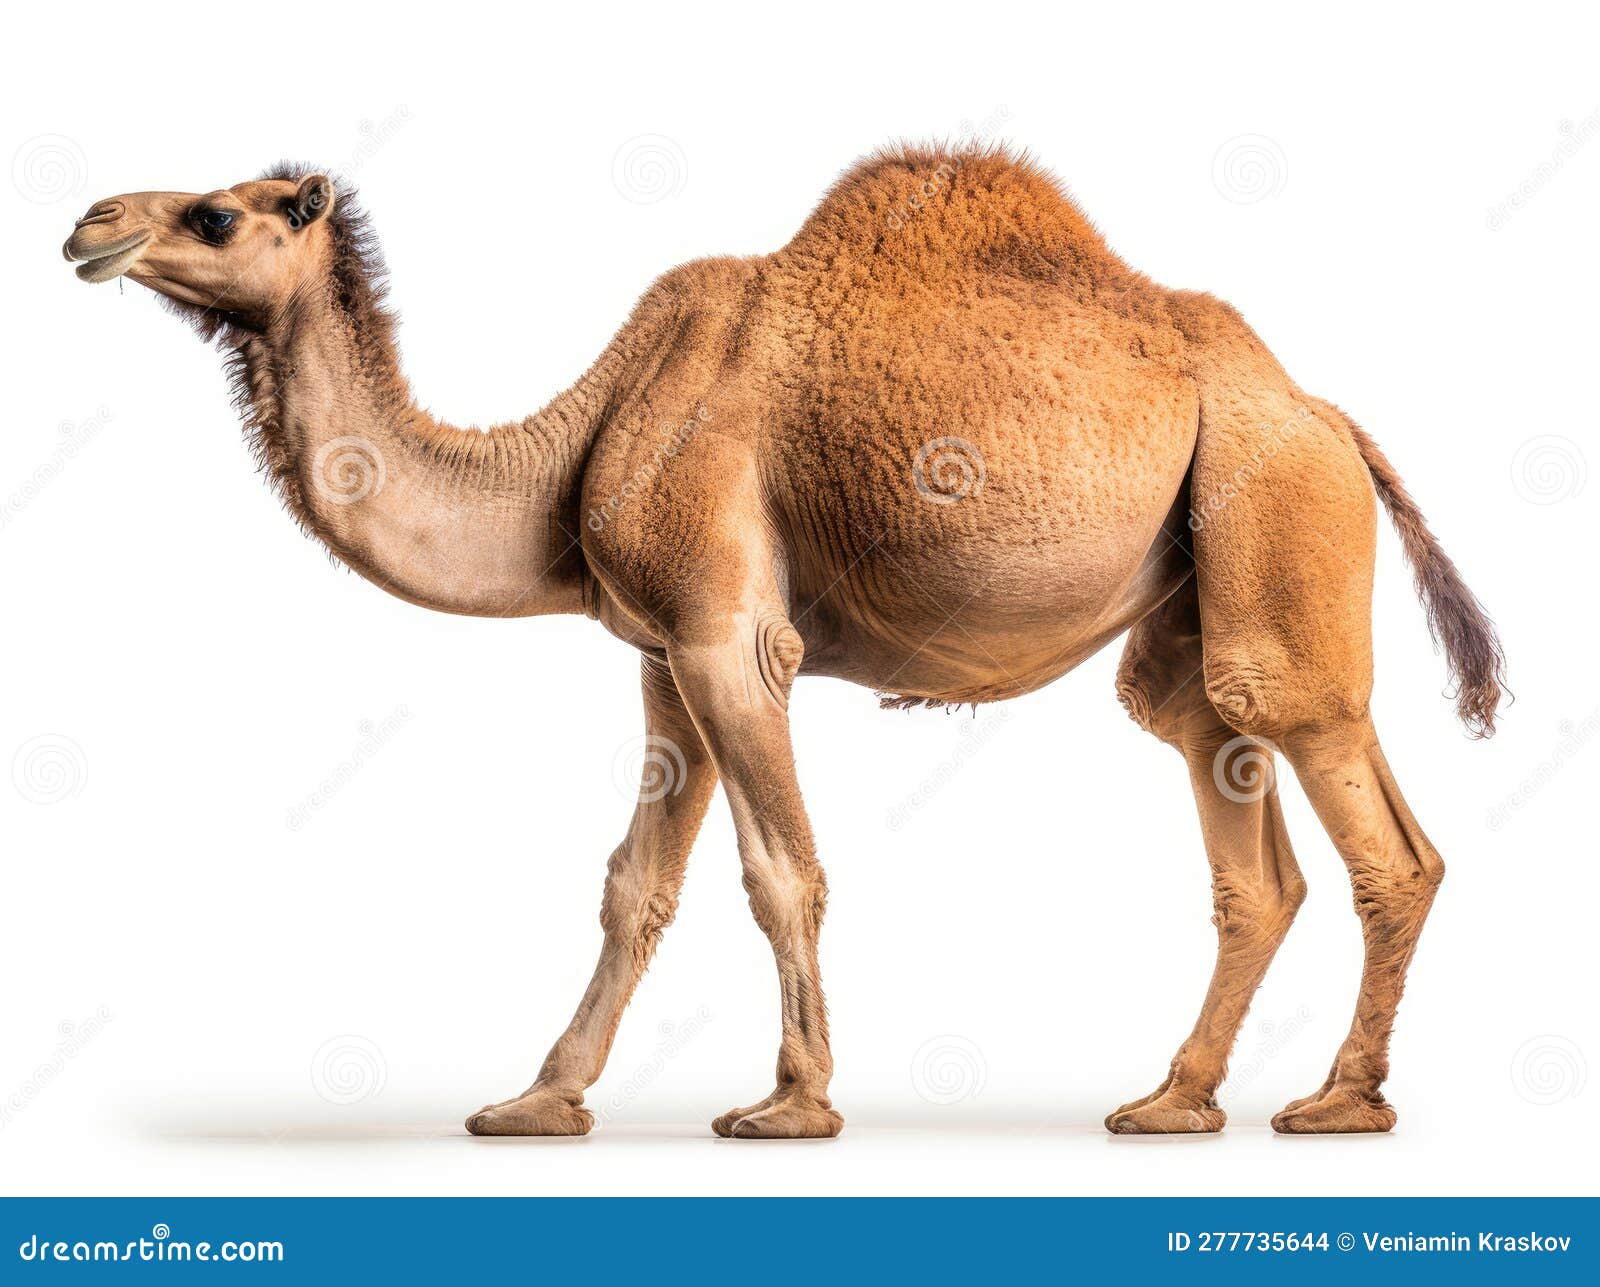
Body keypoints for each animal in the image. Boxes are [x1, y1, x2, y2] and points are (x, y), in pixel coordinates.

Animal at [61, 145, 1503, 1139]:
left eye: (215, 212)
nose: (87, 222)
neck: (582, 439)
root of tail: (1324, 411)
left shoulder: (727, 637)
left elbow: (777, 871)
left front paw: (791, 1102)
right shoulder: (659, 653)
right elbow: (633, 883)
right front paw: (539, 1099)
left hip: (1276, 511)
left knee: (1368, 815)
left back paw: (1340, 1103)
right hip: (1197, 593)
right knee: (1229, 801)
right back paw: (1170, 1102)